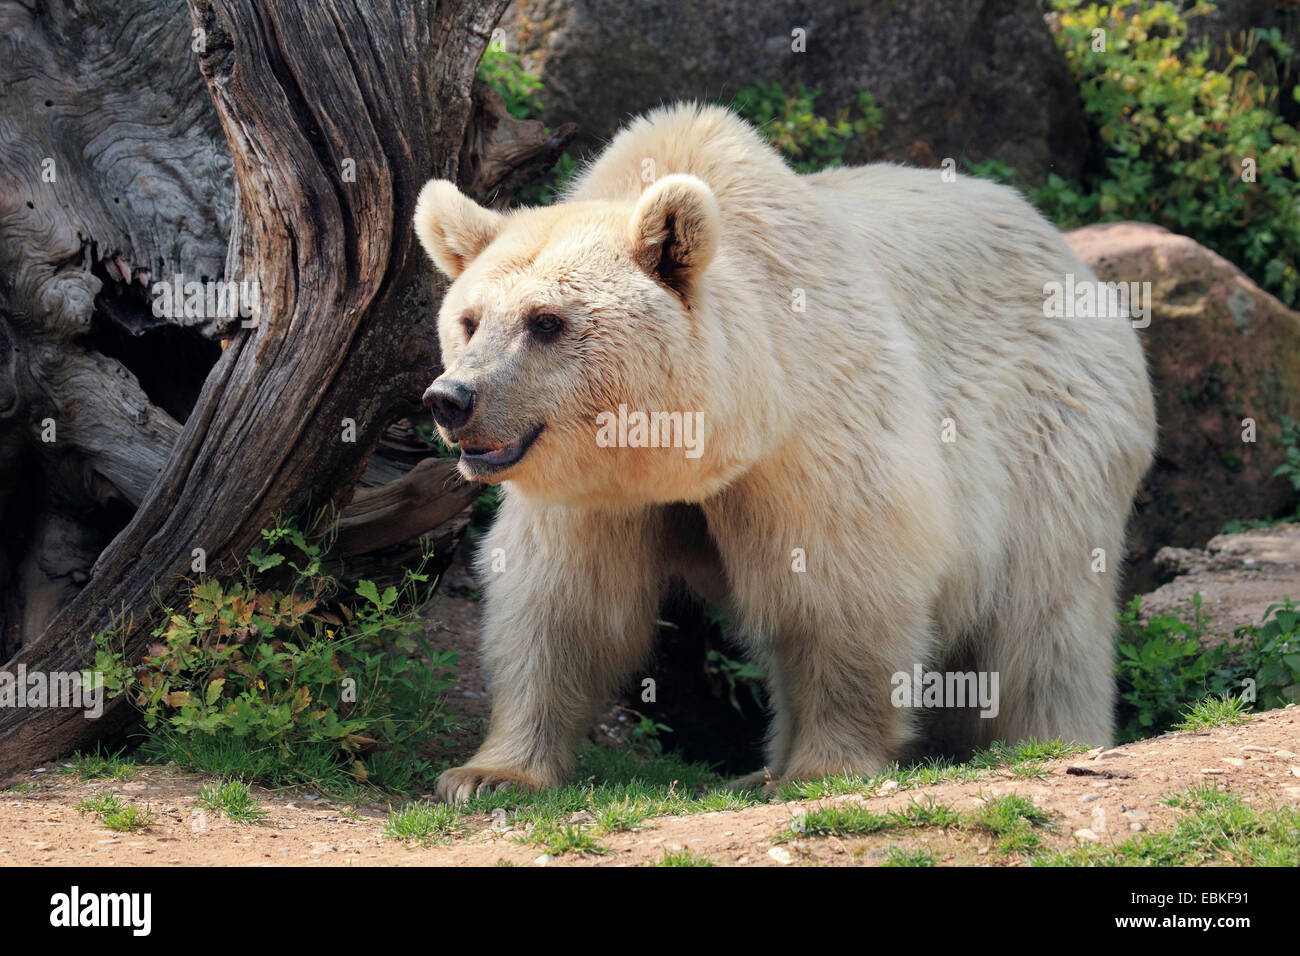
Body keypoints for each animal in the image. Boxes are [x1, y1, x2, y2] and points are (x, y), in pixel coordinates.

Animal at [413, 103, 1156, 803]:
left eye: (546, 322)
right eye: (470, 321)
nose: (452, 398)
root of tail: (1066, 253)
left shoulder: (816, 423)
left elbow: (844, 581)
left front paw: (826, 765)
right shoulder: (595, 488)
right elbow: (562, 600)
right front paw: (488, 773)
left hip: (1056, 425)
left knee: (1044, 613)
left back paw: (1051, 738)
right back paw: (760, 770)